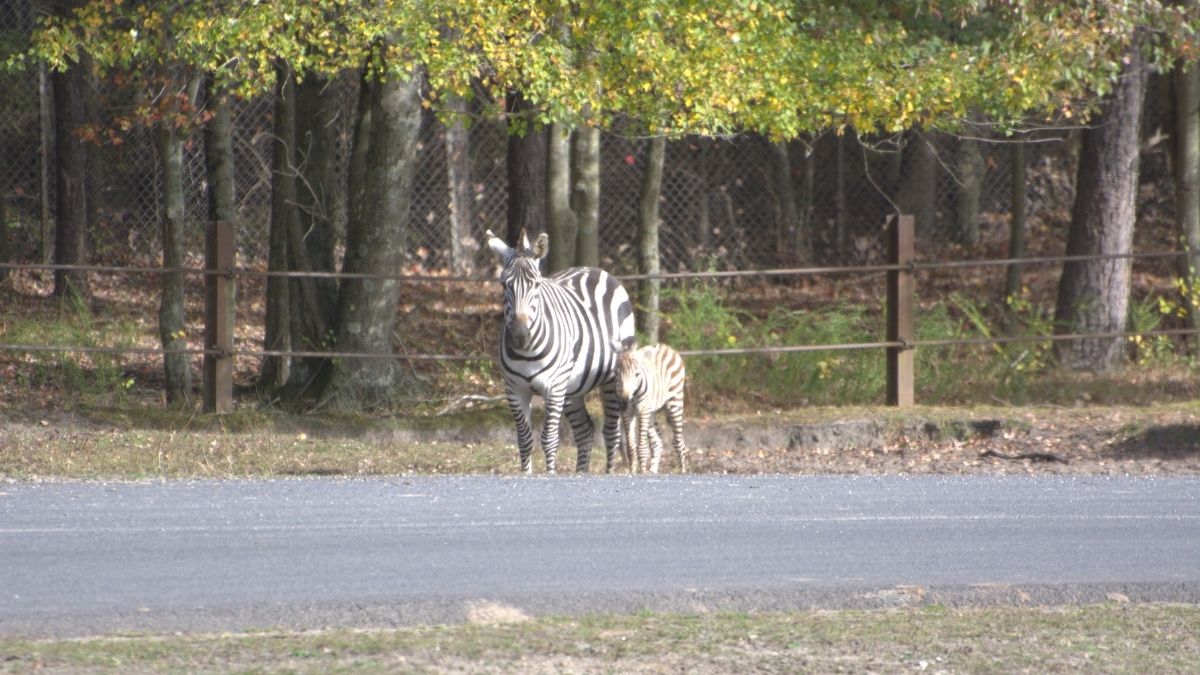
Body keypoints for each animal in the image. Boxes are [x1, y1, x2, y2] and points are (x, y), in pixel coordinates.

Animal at [486, 228, 635, 474]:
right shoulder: (514, 390)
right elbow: (524, 440)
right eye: (504, 285)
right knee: (585, 431)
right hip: (572, 388)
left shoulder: (554, 388)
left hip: (611, 379)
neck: (528, 352)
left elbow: (549, 439)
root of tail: (593, 269)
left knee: (611, 433)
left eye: (536, 285)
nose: (520, 335)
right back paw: (580, 473)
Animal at [612, 338, 688, 474]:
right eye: (616, 373)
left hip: (675, 402)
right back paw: (653, 471)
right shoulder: (626, 413)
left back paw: (682, 471)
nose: (624, 401)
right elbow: (630, 448)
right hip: (651, 411)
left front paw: (642, 472)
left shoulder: (642, 410)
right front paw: (632, 472)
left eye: (637, 374)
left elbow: (642, 448)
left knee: (678, 442)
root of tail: (667, 347)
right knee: (658, 442)